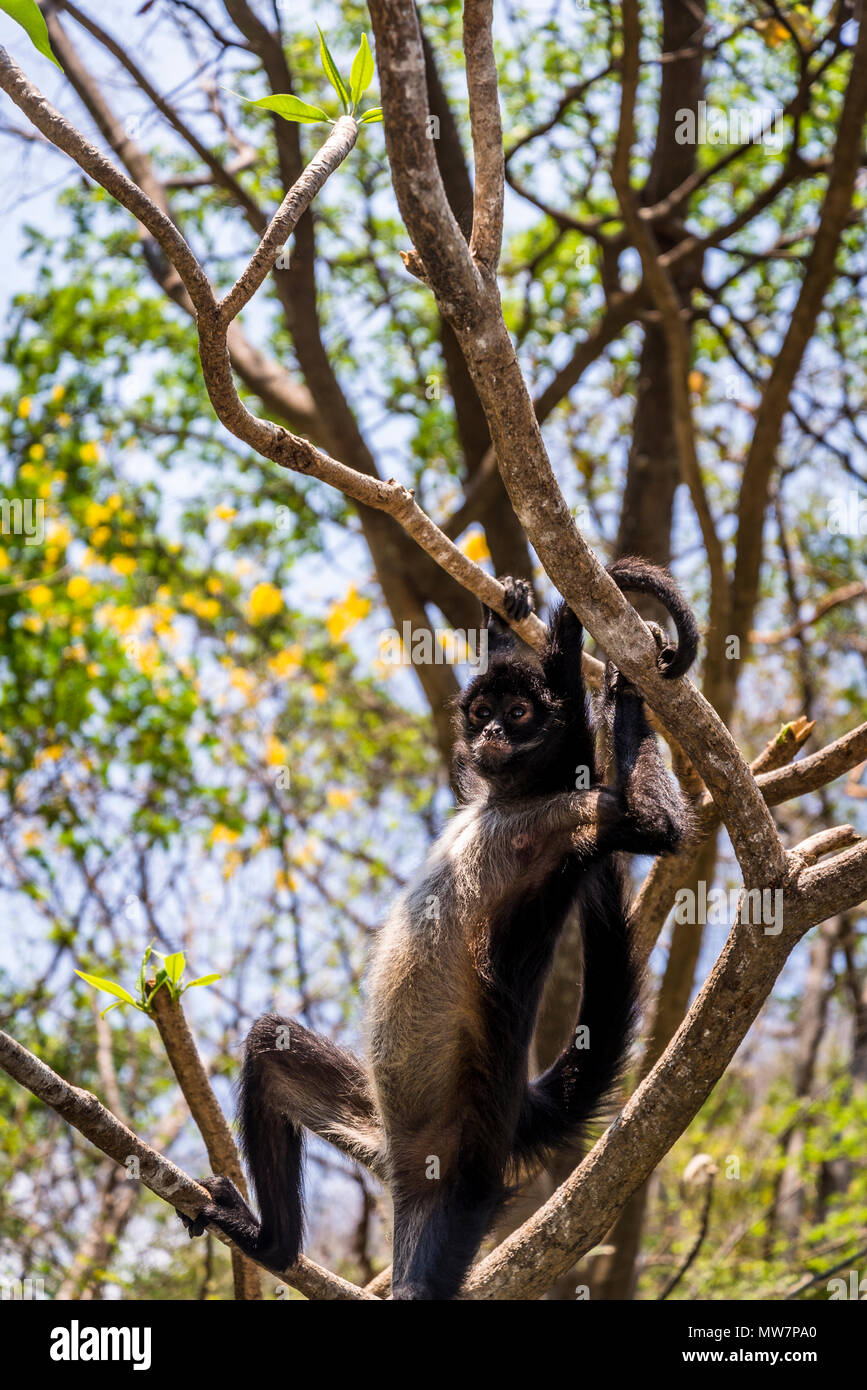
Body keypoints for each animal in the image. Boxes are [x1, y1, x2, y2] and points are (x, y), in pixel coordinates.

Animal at [179, 558, 698, 1300]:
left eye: (518, 716)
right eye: (483, 714)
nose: (489, 736)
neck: (510, 803)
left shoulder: (567, 821)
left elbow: (654, 826)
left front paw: (578, 656)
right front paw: (516, 617)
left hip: (461, 1178)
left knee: (422, 1284)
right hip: (374, 1122)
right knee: (268, 1045)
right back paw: (272, 1246)